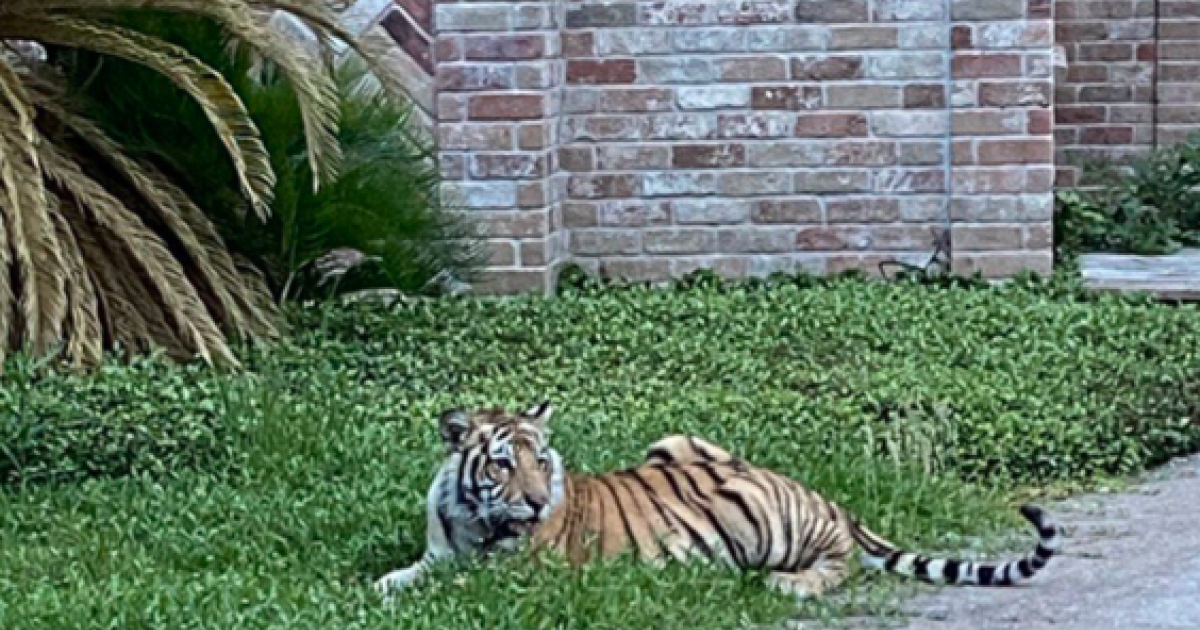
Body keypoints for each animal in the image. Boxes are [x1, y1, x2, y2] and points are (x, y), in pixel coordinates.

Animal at [374, 402, 1061, 601]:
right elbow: (400, 576)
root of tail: (828, 498)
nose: (538, 503)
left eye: (541, 462)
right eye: (502, 464)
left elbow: (455, 587)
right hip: (674, 442)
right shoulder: (439, 553)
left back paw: (788, 585)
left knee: (839, 563)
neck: (472, 519)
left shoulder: (521, 572)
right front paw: (376, 586)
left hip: (767, 519)